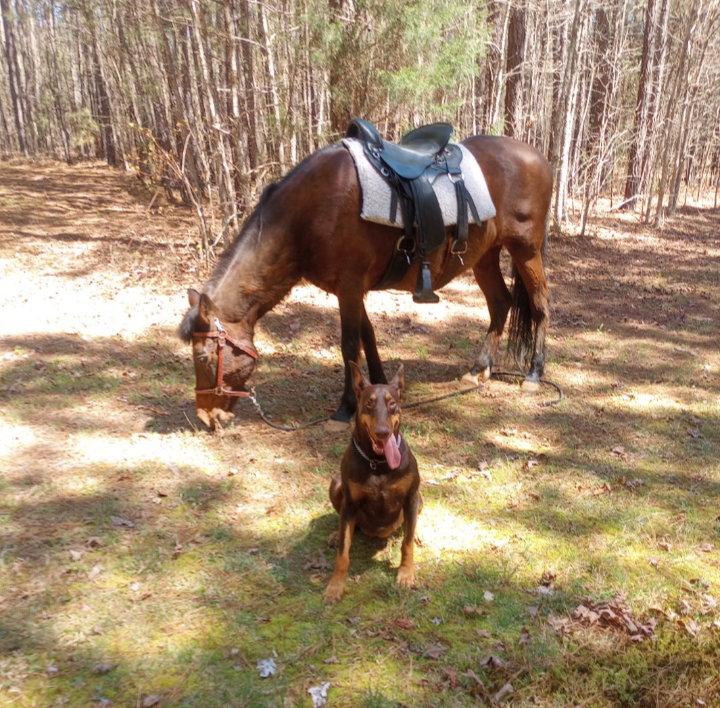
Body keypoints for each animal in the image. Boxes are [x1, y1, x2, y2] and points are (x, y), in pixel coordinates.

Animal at [179, 134, 553, 429]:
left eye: (204, 359)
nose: (206, 418)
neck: (312, 210)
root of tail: (538, 156)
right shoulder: (350, 288)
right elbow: (367, 336)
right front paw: (377, 385)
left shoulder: (349, 285)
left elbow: (348, 345)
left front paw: (345, 409)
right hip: (485, 256)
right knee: (500, 304)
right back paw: (479, 369)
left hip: (525, 250)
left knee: (540, 305)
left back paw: (534, 375)